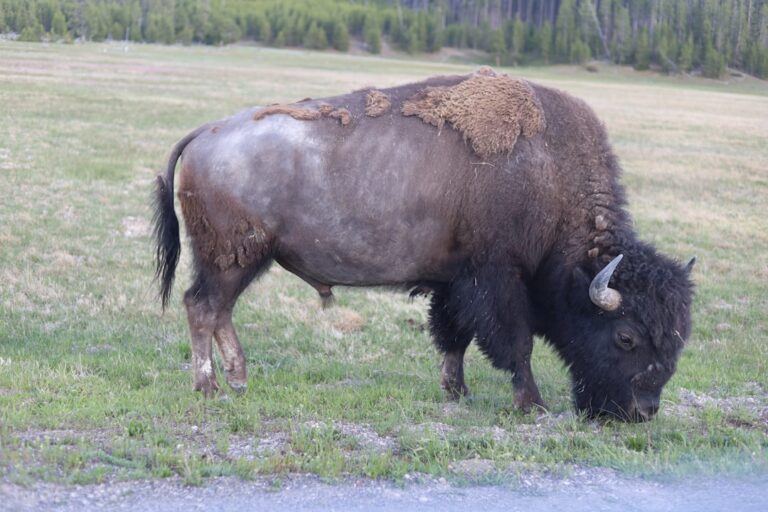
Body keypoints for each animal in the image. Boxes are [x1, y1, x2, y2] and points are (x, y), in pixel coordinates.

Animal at [153, 68, 694, 422]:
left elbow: (453, 336)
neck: (547, 170)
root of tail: (206, 132)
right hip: (231, 258)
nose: (643, 411)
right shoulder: (496, 278)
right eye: (626, 337)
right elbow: (514, 344)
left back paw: (239, 380)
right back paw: (209, 388)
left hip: (242, 261)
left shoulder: (453, 281)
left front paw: (456, 392)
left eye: (679, 336)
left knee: (218, 311)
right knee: (202, 307)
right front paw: (533, 405)